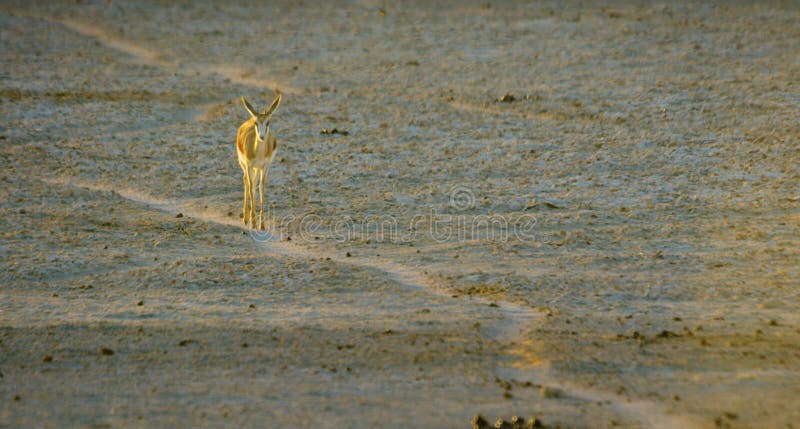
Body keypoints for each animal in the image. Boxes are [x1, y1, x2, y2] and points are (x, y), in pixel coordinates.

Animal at [237, 90, 282, 230]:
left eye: (268, 123)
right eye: (257, 123)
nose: (261, 137)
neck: (259, 153)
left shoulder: (266, 166)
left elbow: (261, 187)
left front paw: (261, 224)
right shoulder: (248, 164)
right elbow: (251, 186)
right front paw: (254, 222)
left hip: (257, 168)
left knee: (254, 184)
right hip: (244, 165)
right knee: (246, 181)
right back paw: (246, 218)